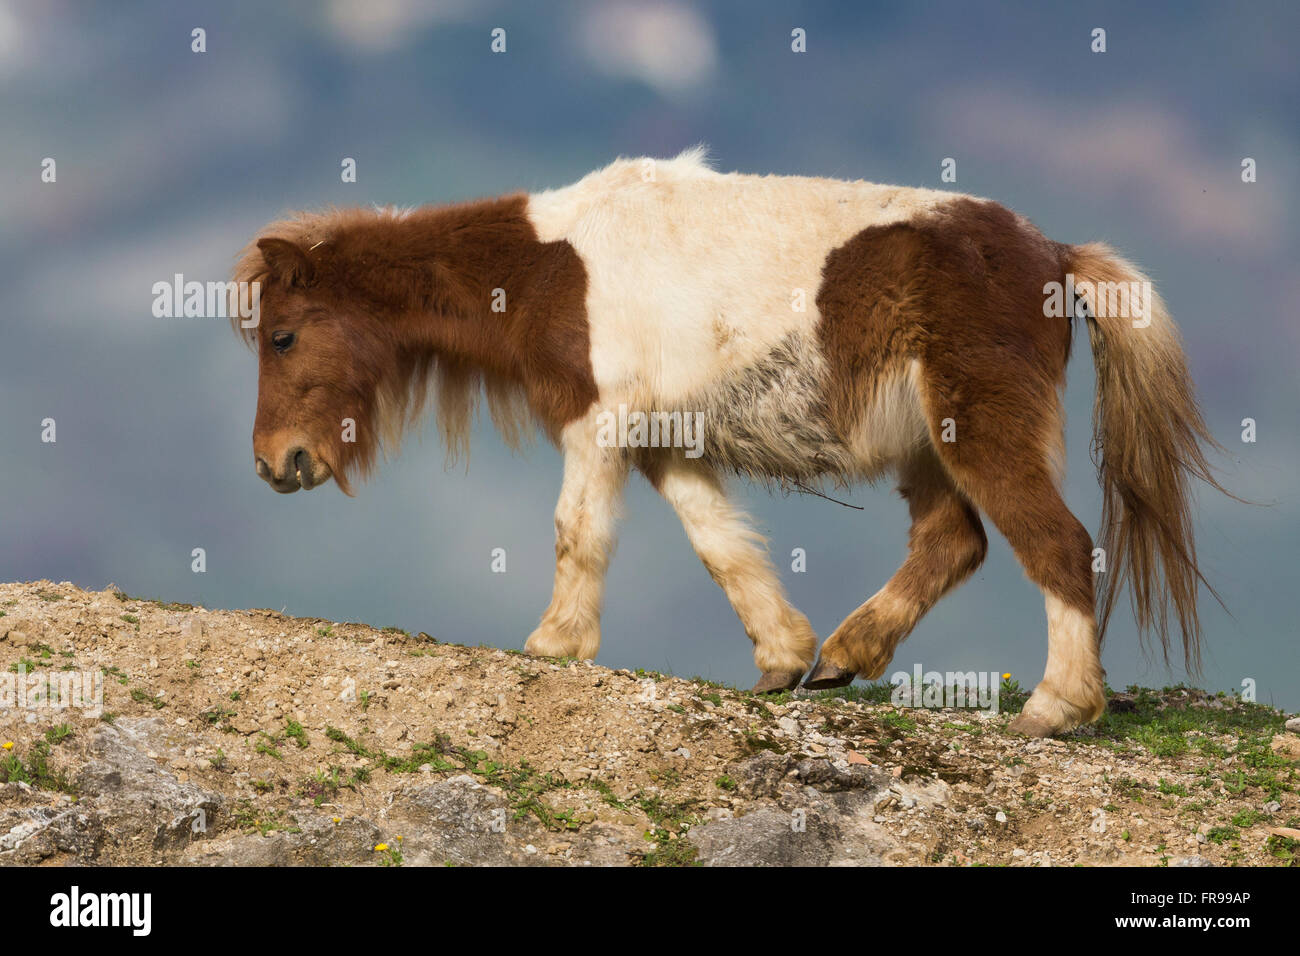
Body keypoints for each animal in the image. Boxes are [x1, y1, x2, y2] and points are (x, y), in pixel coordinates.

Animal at [231, 148, 1228, 736]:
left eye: (282, 336)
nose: (277, 463)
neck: (551, 265)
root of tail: (1055, 256)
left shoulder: (598, 421)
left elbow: (577, 532)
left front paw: (553, 644)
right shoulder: (662, 440)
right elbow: (721, 546)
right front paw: (782, 657)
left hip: (978, 425)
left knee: (1057, 541)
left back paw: (1058, 706)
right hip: (928, 445)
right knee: (956, 540)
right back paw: (843, 656)